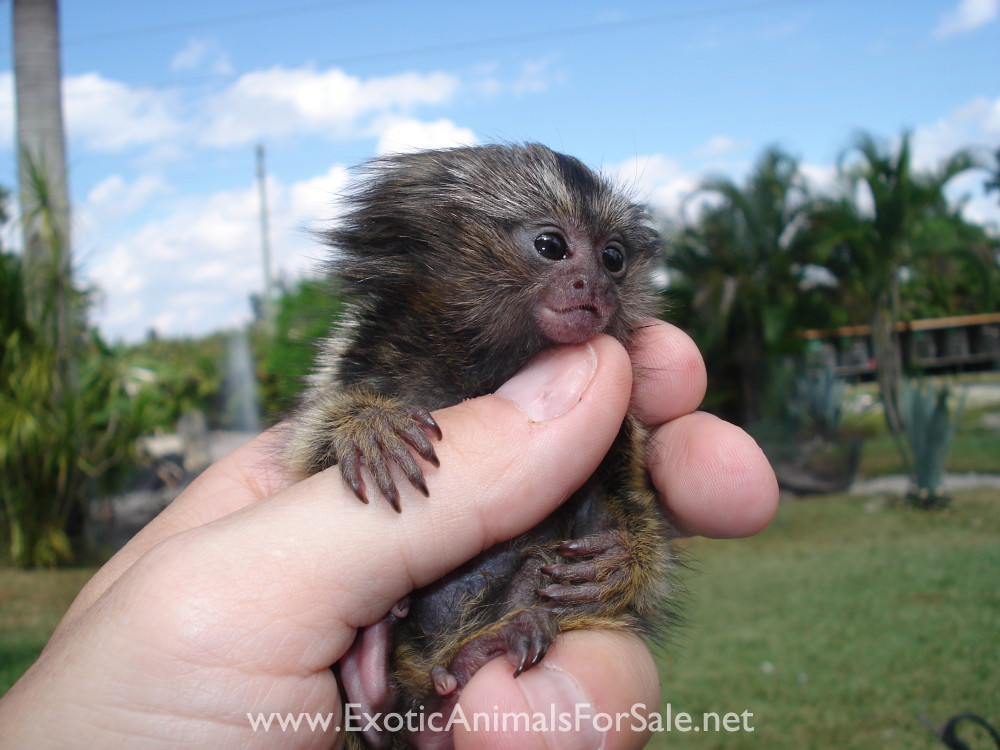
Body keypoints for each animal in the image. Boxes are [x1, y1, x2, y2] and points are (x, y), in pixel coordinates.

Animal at [286, 143, 677, 749]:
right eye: (551, 247)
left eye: (613, 258)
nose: (596, 286)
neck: (486, 367)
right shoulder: (362, 355)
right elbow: (311, 447)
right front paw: (369, 428)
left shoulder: (619, 433)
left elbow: (628, 529)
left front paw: (621, 562)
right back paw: (371, 672)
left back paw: (479, 651)